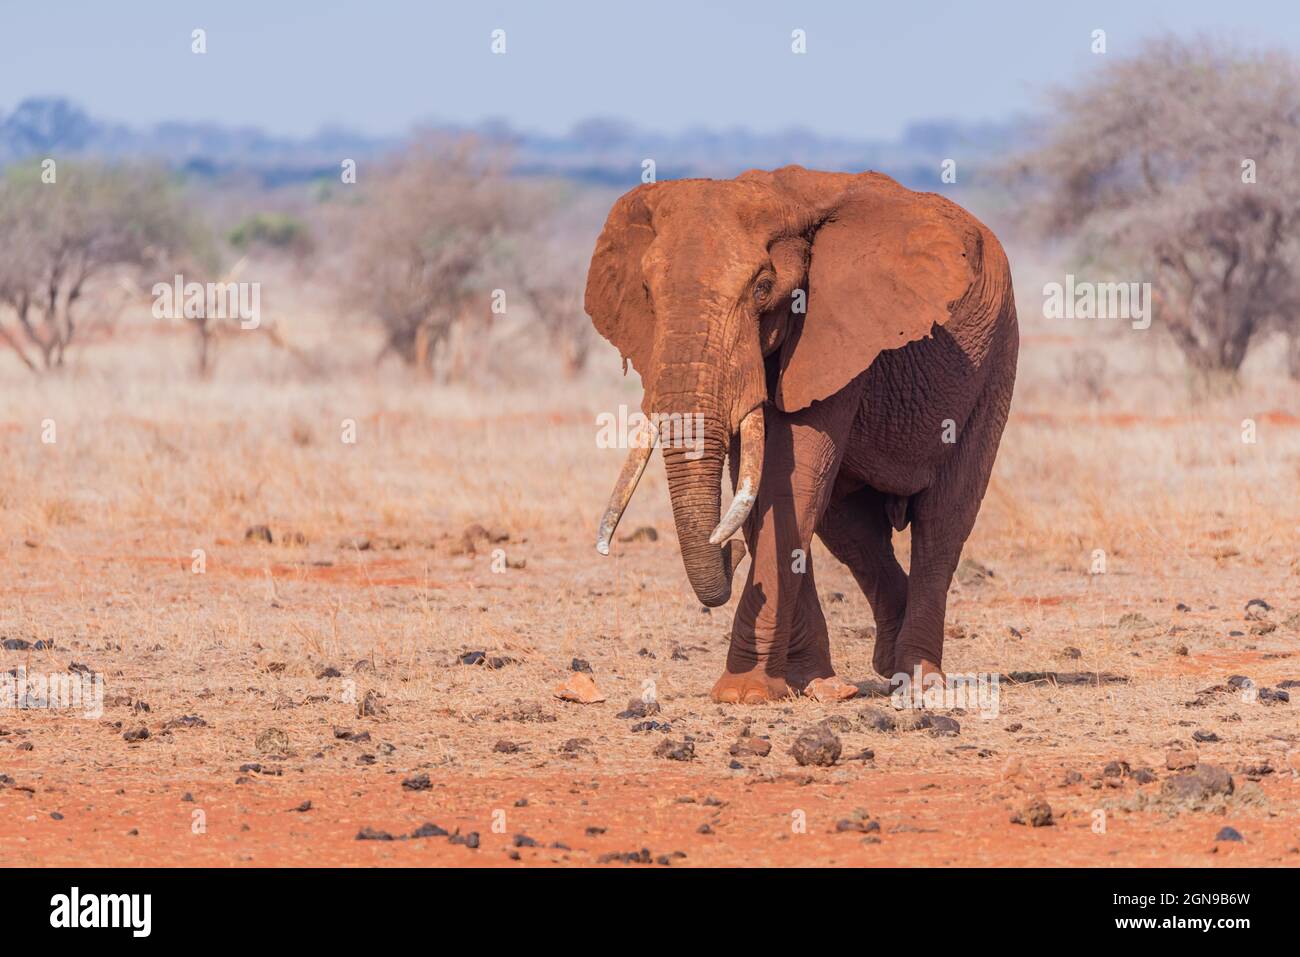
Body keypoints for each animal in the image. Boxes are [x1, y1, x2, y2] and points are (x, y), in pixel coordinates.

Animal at [586, 166, 1018, 704]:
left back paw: (919, 680)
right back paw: (880, 664)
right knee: (851, 530)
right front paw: (805, 681)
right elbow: (766, 492)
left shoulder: (838, 328)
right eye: (646, 290)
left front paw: (743, 693)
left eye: (763, 287)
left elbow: (786, 483)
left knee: (943, 520)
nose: (725, 549)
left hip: (995, 359)